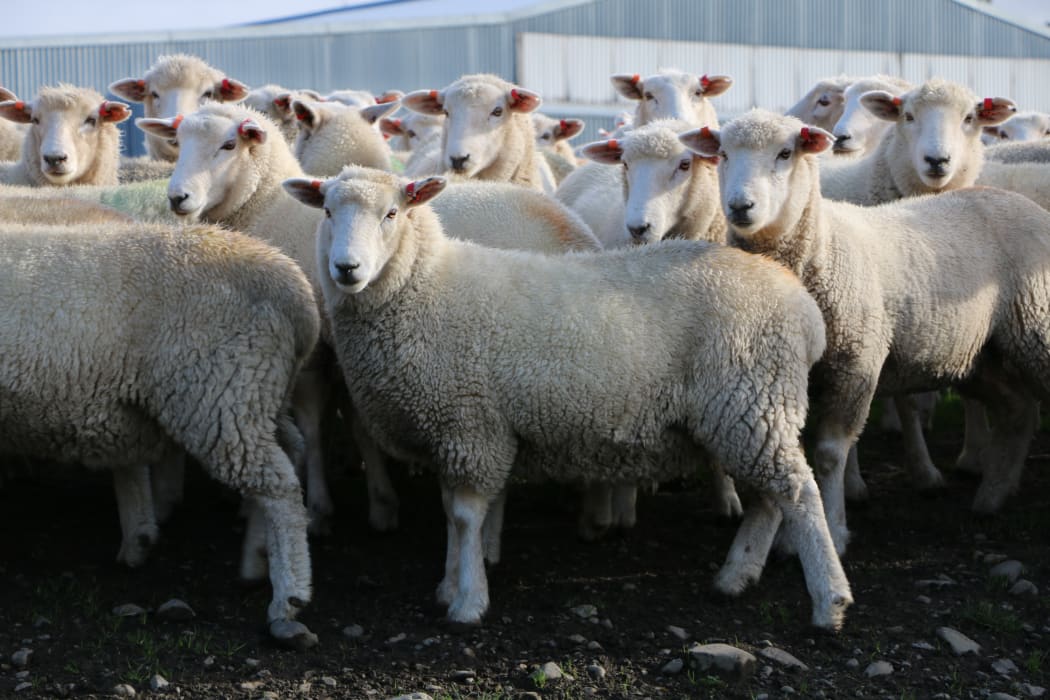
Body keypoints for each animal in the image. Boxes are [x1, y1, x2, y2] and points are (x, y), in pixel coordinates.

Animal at [0, 218, 320, 646]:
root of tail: (293, 289)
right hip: (258, 394)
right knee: (288, 455)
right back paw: (255, 559)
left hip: (220, 394)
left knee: (278, 488)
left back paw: (288, 599)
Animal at [282, 165, 852, 630]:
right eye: (327, 210)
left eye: (392, 213)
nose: (346, 269)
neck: (423, 288)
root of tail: (803, 308)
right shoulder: (456, 430)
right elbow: (451, 512)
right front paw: (449, 584)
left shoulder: (471, 425)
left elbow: (464, 516)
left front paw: (467, 601)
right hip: (751, 413)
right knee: (771, 500)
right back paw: (737, 576)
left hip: (751, 402)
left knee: (799, 493)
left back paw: (829, 601)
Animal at [680, 111, 1050, 558]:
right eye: (722, 153)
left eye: (786, 153)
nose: (739, 206)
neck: (822, 248)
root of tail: (1019, 201)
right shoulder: (784, 377)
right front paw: (792, 538)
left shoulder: (855, 364)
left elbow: (828, 454)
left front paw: (835, 532)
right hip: (977, 354)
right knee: (1018, 409)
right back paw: (993, 496)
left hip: (1036, 329)